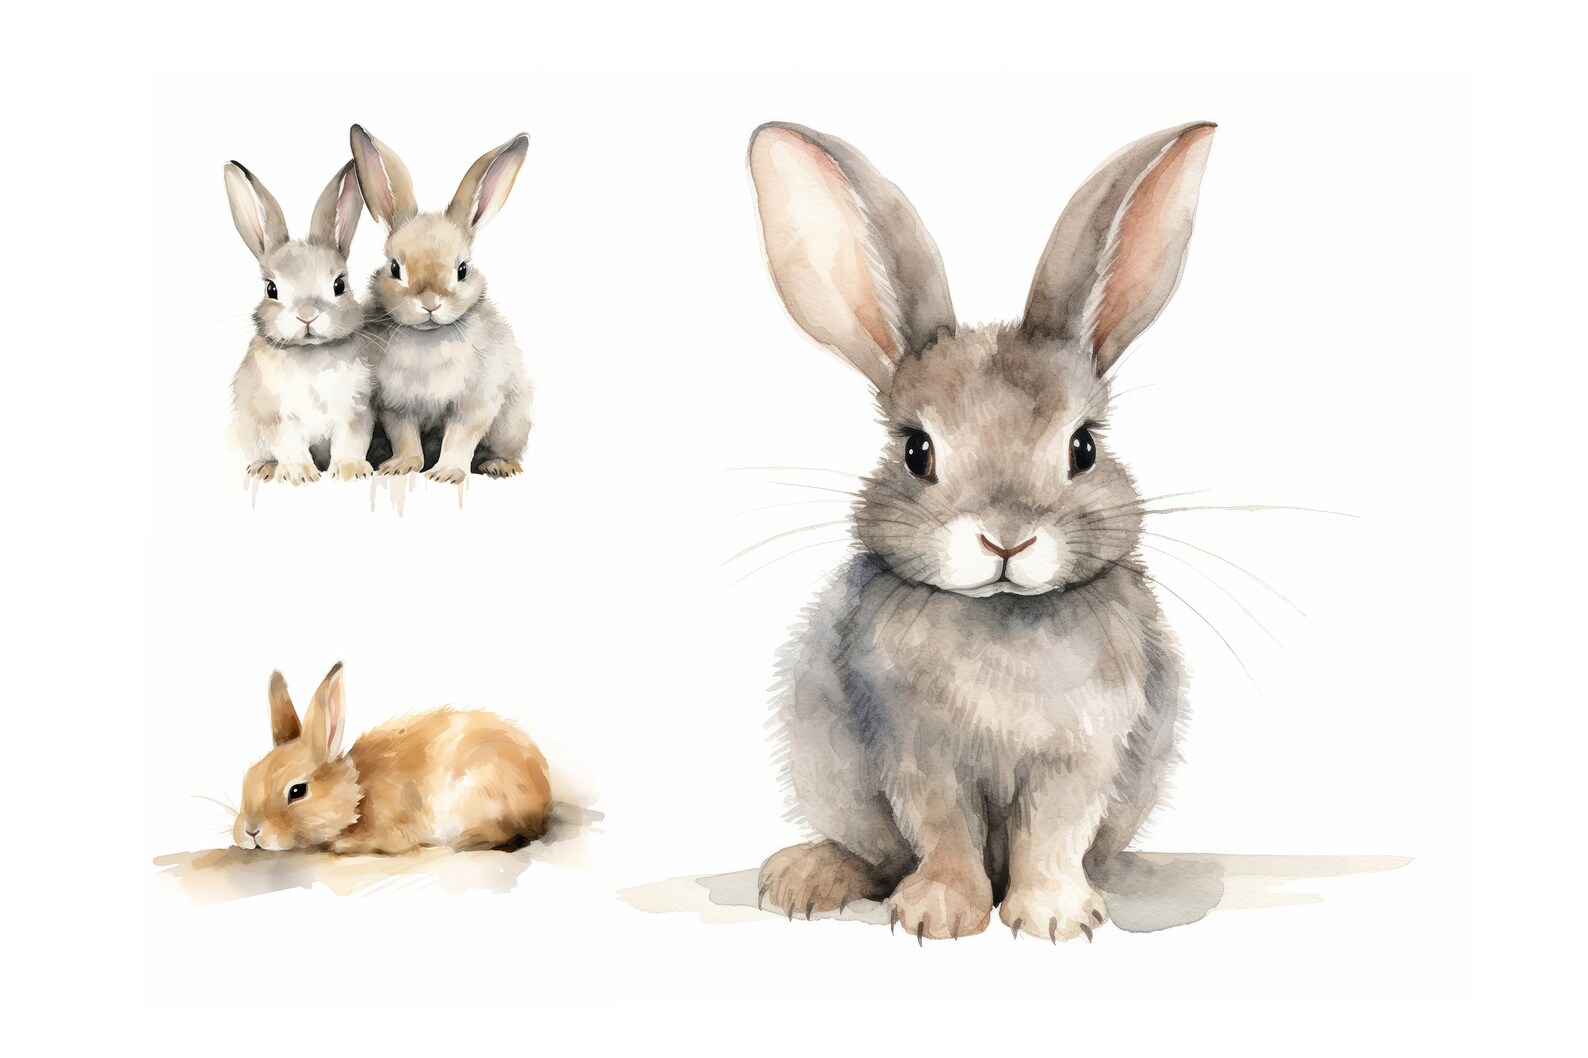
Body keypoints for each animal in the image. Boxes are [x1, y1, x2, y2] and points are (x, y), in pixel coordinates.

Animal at [225, 159, 375, 484]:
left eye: (339, 285)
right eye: (271, 289)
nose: (307, 314)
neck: (310, 353)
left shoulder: (354, 410)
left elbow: (350, 441)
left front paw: (351, 470)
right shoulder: (276, 416)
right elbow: (289, 444)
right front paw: (299, 474)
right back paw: (264, 468)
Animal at [348, 124, 534, 484]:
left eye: (461, 270)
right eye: (395, 268)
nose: (429, 304)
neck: (429, 337)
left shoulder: (475, 402)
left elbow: (460, 438)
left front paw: (447, 473)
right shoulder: (395, 405)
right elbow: (405, 437)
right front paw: (400, 466)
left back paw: (499, 465)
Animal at [746, 120, 1216, 942]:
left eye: (1083, 448)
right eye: (917, 451)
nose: (1006, 539)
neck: (1001, 618)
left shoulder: (1081, 753)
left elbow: (1053, 832)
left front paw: (1055, 917)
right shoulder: (919, 755)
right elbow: (943, 830)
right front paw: (939, 914)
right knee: (873, 854)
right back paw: (805, 876)